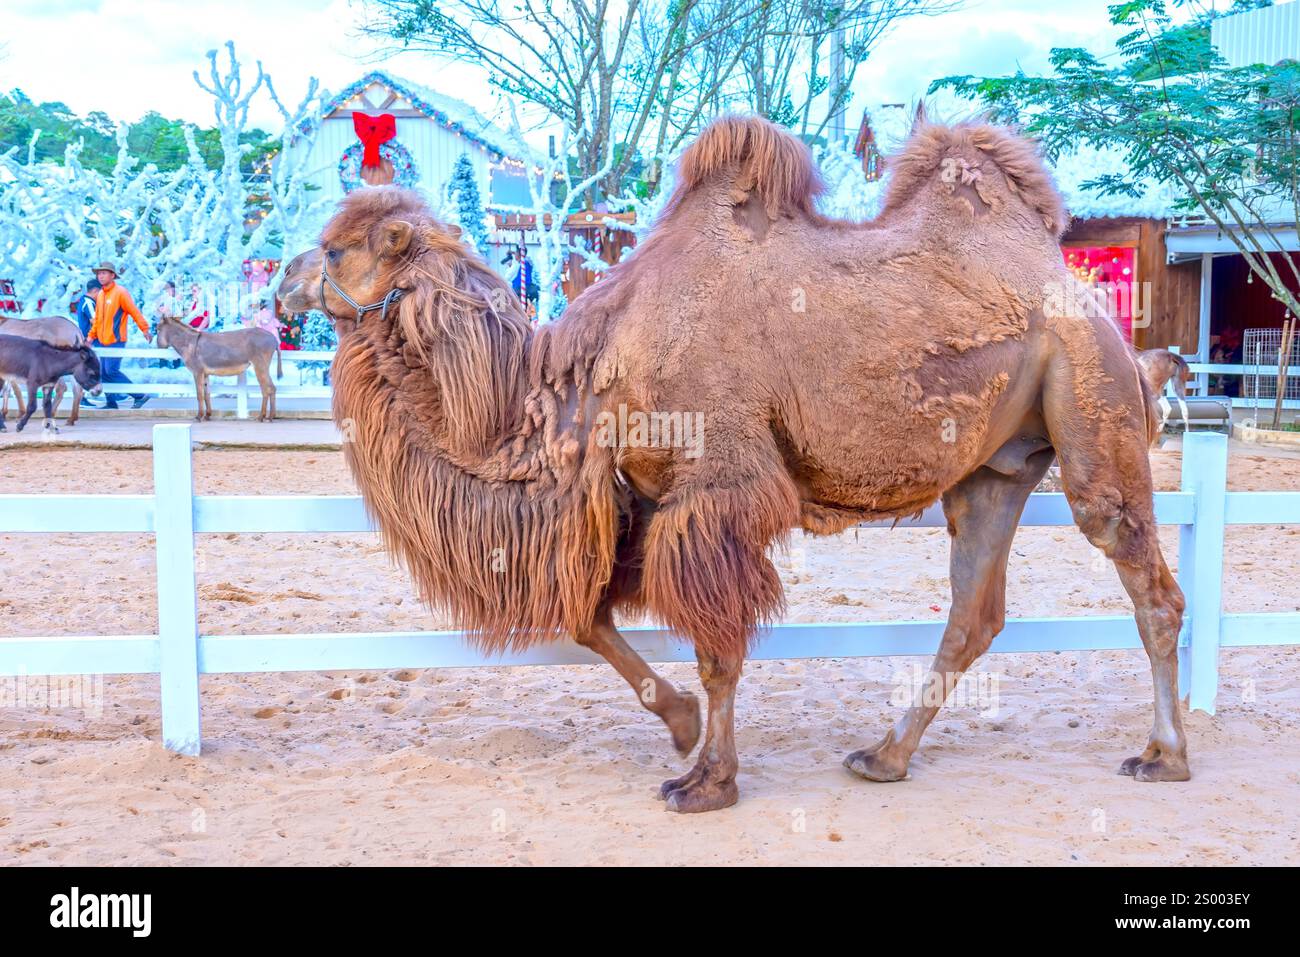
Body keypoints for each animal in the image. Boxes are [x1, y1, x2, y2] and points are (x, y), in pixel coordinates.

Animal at [278, 108, 1189, 814]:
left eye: (334, 249)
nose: (283, 285)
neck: (577, 373)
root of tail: (1074, 285)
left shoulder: (714, 487)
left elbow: (716, 645)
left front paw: (706, 781)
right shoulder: (643, 493)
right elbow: (589, 616)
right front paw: (681, 728)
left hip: (1090, 399)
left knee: (1145, 579)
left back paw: (1163, 754)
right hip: (994, 466)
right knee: (974, 611)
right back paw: (882, 756)